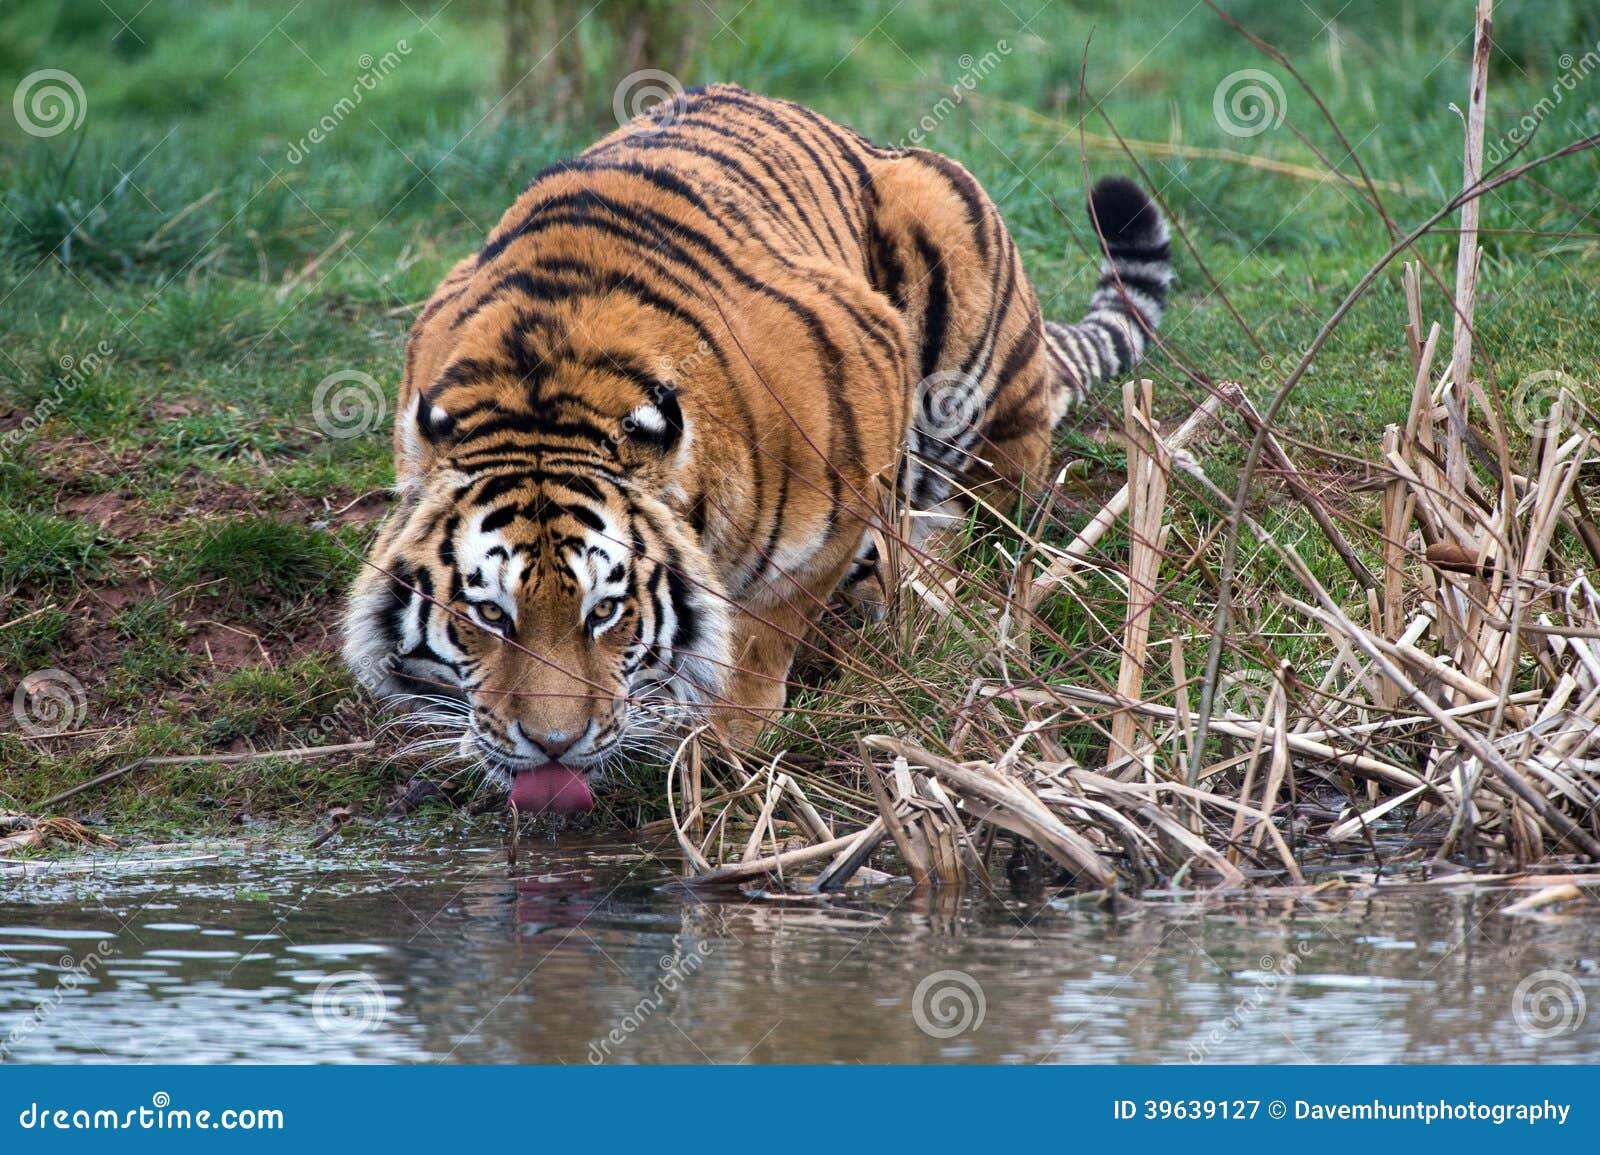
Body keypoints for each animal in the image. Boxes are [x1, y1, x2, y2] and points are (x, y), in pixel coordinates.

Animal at [342, 83, 1172, 815]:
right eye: (489, 614)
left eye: (606, 610)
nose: (553, 745)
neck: (546, 390)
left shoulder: (849, 442)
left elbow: (764, 627)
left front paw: (728, 735)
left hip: (961, 307)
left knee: (980, 512)